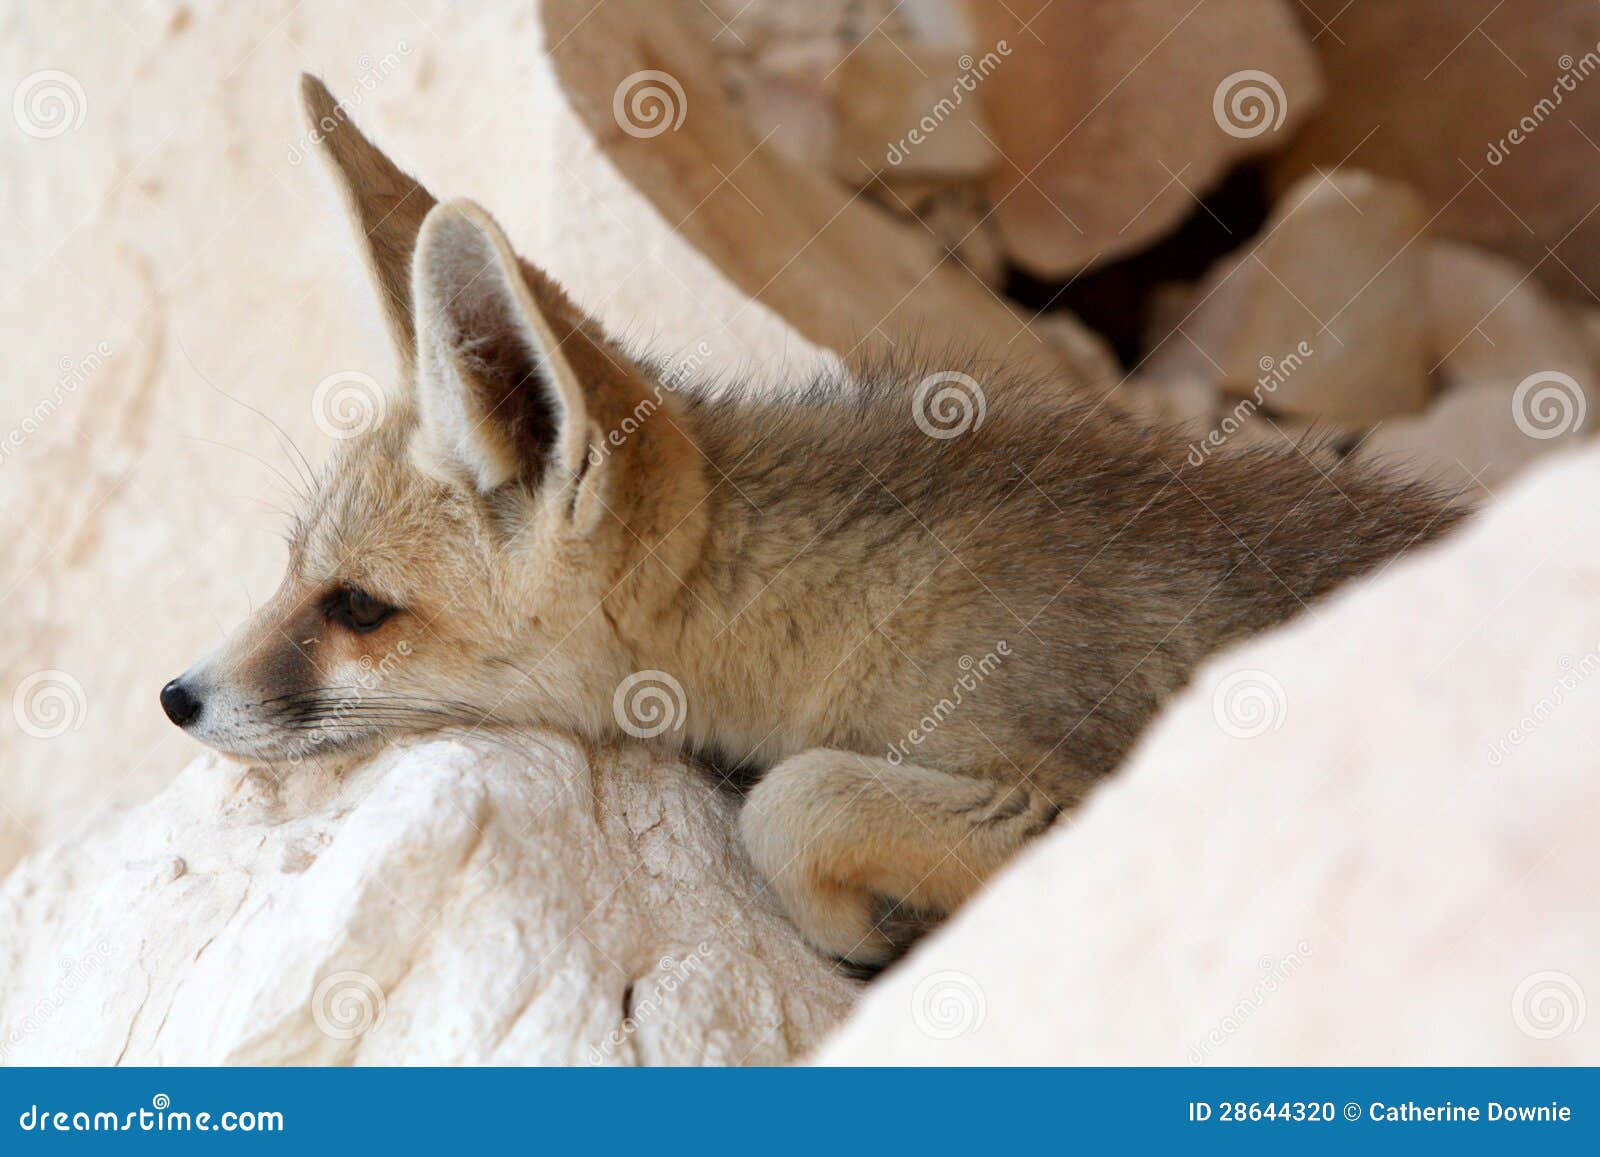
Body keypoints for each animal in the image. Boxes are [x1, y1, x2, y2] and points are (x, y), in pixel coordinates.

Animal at [161, 75, 1466, 969]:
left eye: (359, 607)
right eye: (287, 567)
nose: (177, 696)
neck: (835, 605)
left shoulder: (1066, 782)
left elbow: (795, 799)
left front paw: (860, 928)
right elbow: (798, 797)